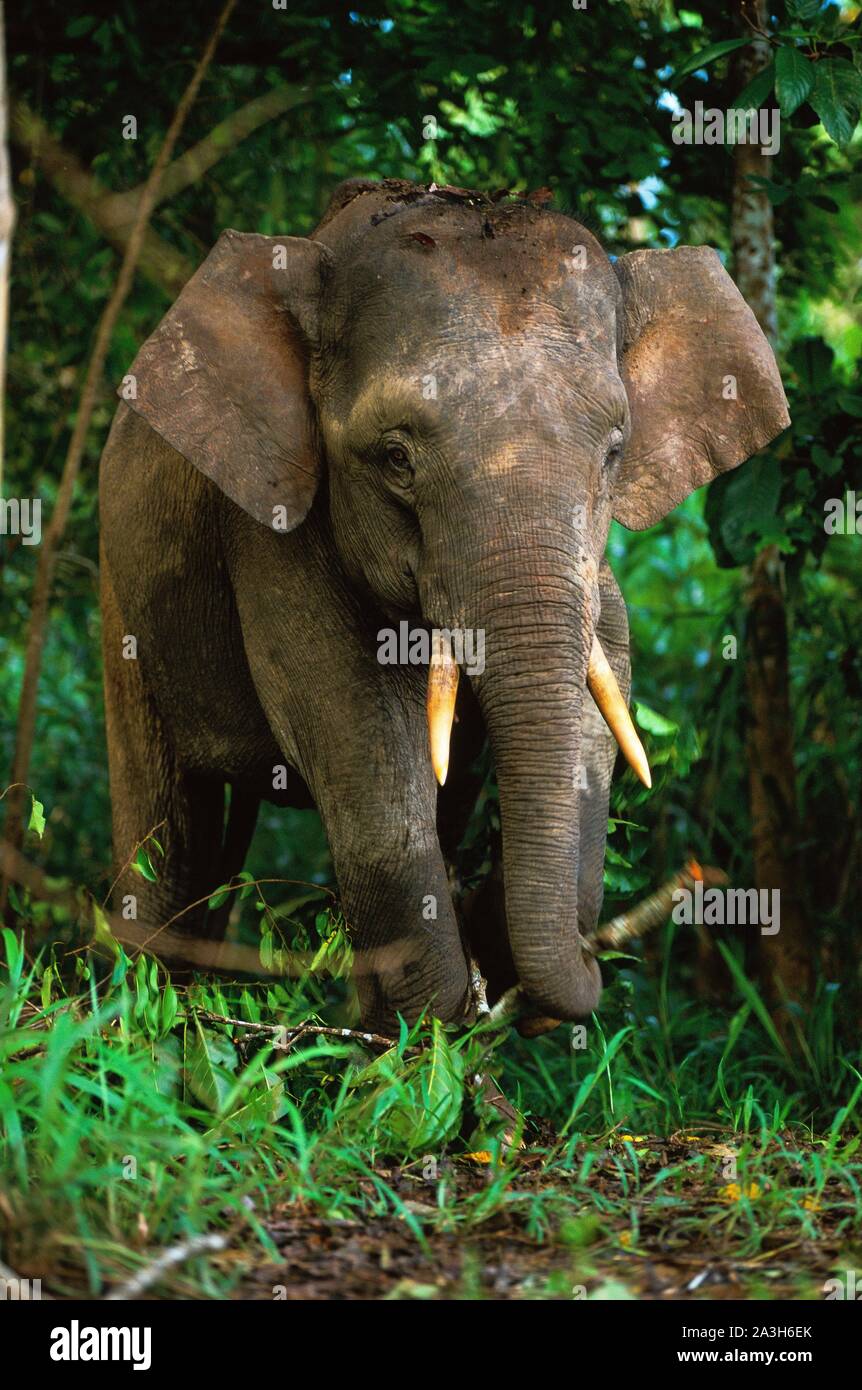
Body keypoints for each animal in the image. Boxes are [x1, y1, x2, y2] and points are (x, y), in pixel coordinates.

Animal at [99, 177, 789, 1034]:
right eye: (395, 458)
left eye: (613, 455)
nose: (699, 880)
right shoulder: (270, 531)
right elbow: (361, 742)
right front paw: (430, 1026)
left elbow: (599, 696)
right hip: (119, 591)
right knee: (167, 837)